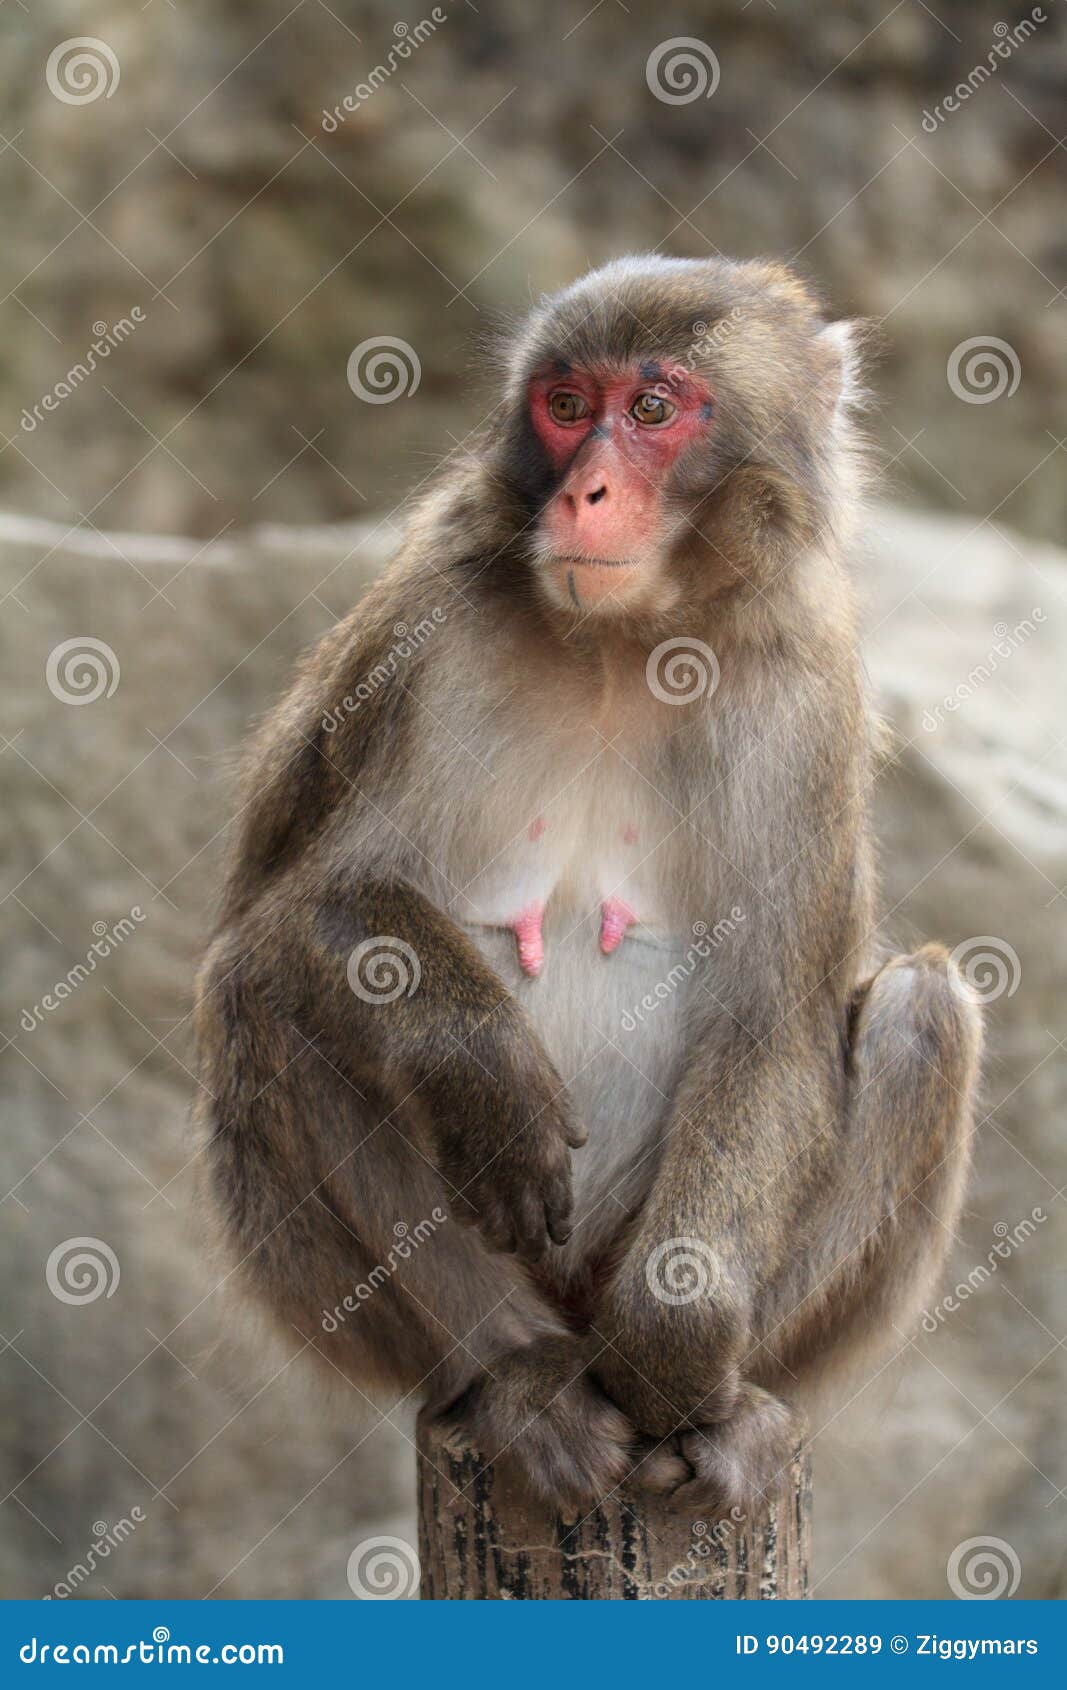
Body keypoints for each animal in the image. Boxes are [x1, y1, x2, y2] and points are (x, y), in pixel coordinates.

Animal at [194, 254, 983, 1515]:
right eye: (566, 405)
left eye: (652, 410)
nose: (585, 494)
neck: (626, 638)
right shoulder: (425, 634)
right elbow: (289, 911)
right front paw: (482, 1071)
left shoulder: (800, 695)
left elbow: (771, 1021)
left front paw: (674, 1344)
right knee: (255, 996)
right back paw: (520, 1380)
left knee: (921, 1009)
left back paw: (732, 1404)